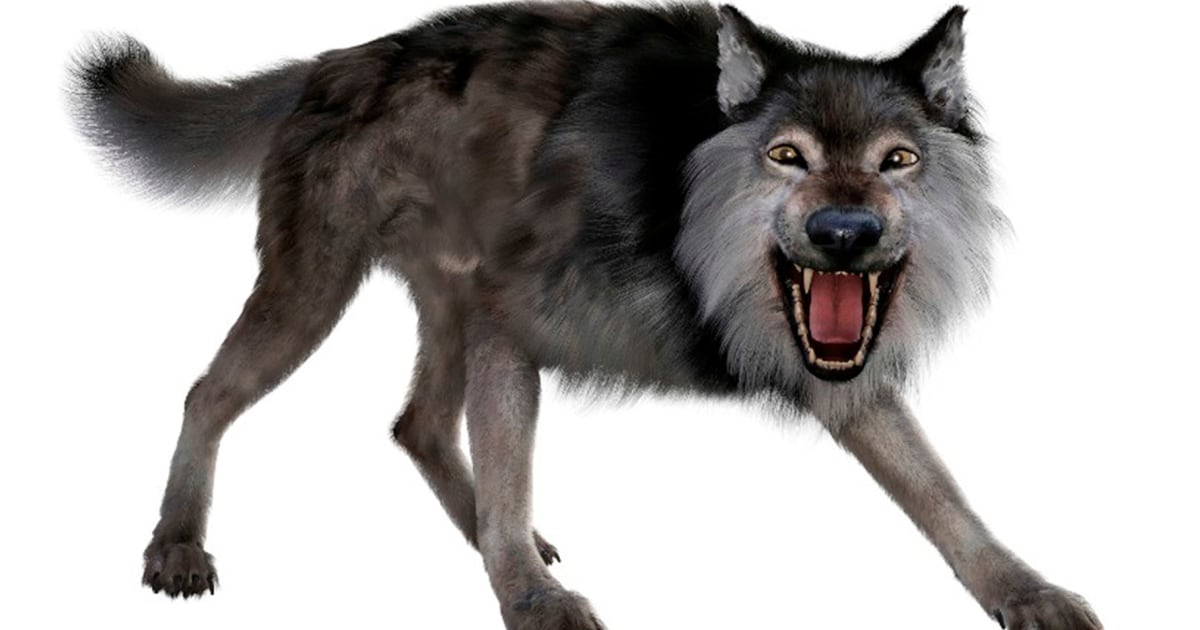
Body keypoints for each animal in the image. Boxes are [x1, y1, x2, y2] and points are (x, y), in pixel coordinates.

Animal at [69, 2, 1102, 629]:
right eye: (787, 156)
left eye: (898, 160)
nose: (843, 234)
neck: (682, 216)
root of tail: (333, 60)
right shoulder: (510, 318)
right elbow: (512, 473)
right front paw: (531, 598)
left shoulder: (848, 385)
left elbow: (947, 501)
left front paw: (1029, 591)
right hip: (316, 291)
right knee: (209, 392)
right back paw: (177, 544)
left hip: (440, 302)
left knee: (415, 424)